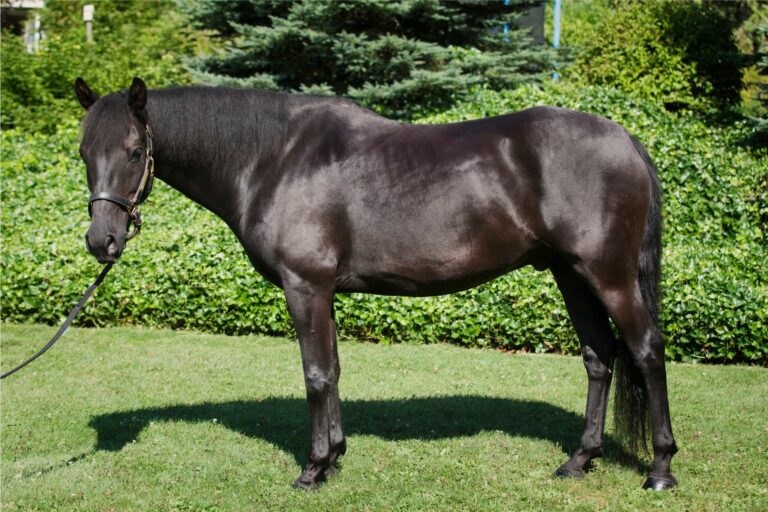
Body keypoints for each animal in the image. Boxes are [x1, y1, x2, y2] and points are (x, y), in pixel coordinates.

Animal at [74, 77, 678, 491]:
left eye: (134, 151)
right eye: (83, 153)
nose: (102, 241)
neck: (274, 158)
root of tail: (625, 139)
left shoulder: (306, 286)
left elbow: (316, 375)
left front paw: (312, 470)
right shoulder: (324, 291)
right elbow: (334, 371)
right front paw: (336, 457)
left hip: (608, 275)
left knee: (646, 350)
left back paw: (661, 469)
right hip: (571, 274)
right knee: (599, 356)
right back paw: (579, 460)